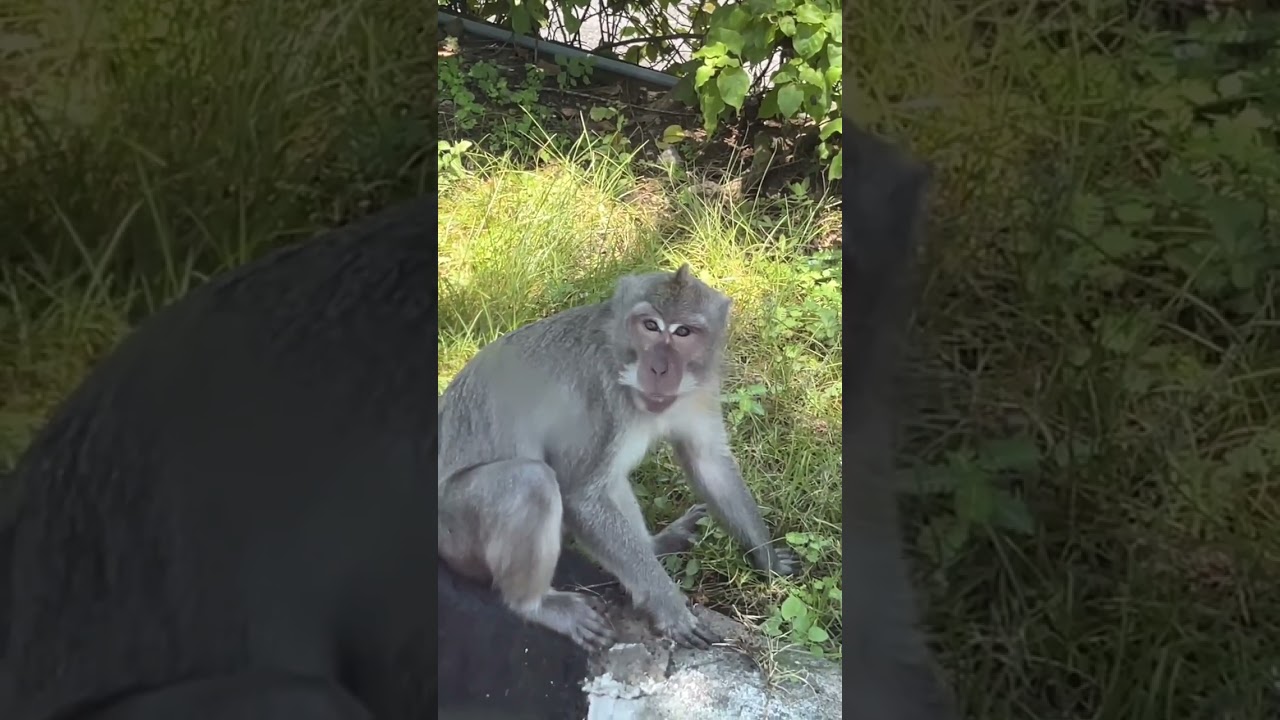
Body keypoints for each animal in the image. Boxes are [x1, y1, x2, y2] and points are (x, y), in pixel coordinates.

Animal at [437, 263, 799, 652]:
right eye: (650, 325)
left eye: (684, 332)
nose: (659, 368)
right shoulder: (600, 397)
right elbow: (580, 497)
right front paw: (671, 607)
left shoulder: (701, 389)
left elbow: (709, 464)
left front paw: (769, 559)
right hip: (455, 531)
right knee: (530, 482)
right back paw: (534, 605)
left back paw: (655, 546)